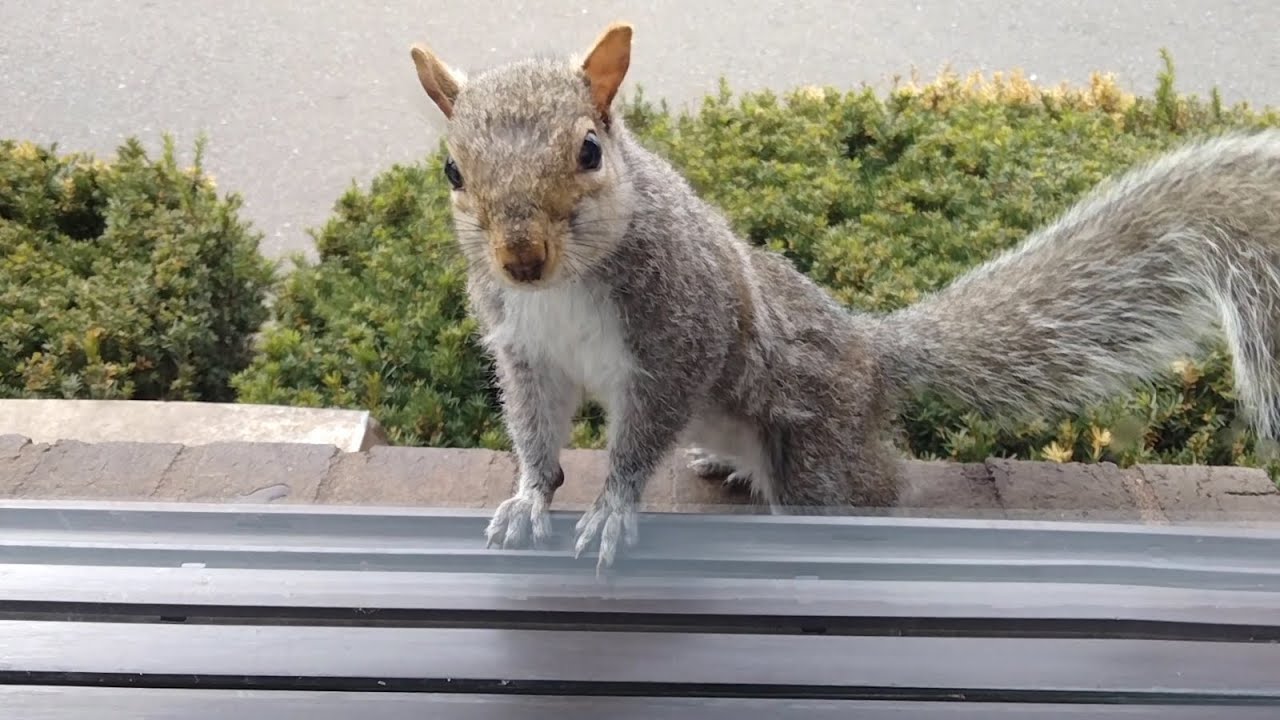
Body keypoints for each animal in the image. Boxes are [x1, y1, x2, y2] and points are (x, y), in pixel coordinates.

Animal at [409, 22, 1280, 572]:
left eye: (590, 150)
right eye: (452, 170)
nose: (521, 258)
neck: (564, 287)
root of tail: (870, 351)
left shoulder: (680, 333)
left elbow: (639, 436)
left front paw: (612, 510)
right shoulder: (526, 349)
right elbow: (534, 429)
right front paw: (529, 497)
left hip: (817, 454)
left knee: (877, 488)